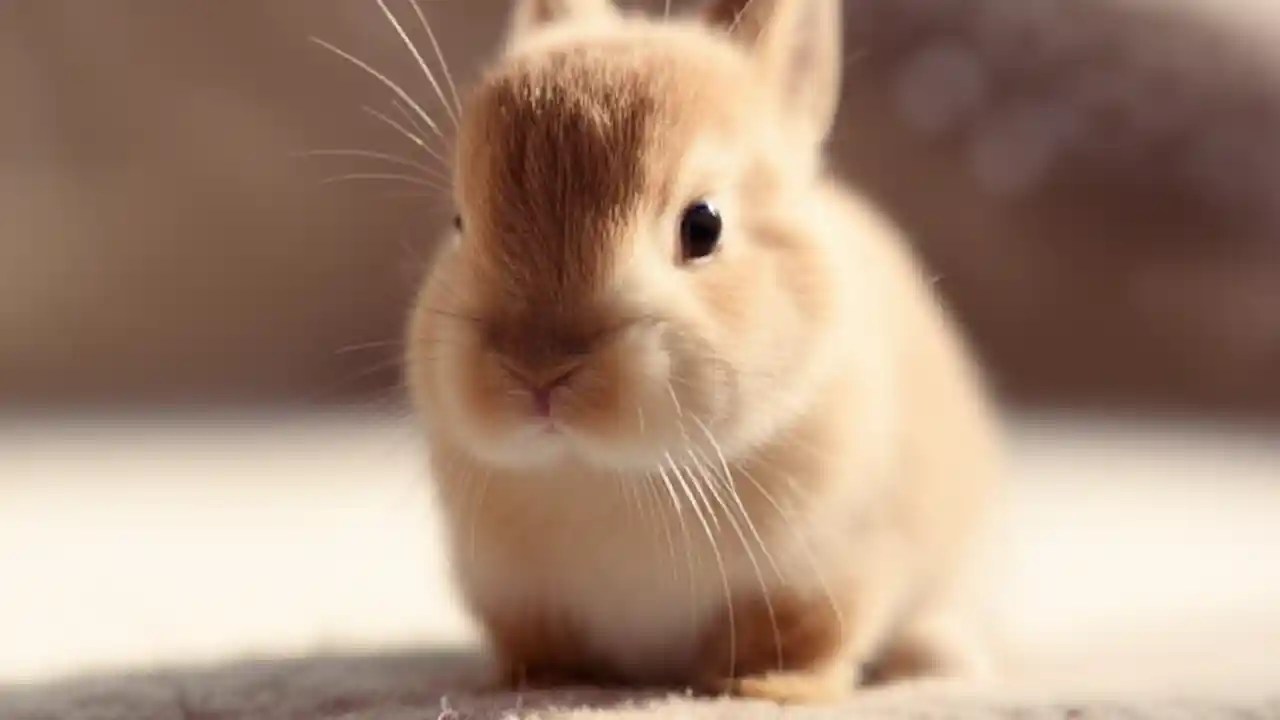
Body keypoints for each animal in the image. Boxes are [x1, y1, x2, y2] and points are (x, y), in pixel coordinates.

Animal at [405, 0, 1002, 703]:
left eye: (703, 225)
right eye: (460, 223)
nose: (538, 369)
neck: (616, 473)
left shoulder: (828, 573)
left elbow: (806, 639)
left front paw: (768, 689)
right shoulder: (516, 594)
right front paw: (545, 682)